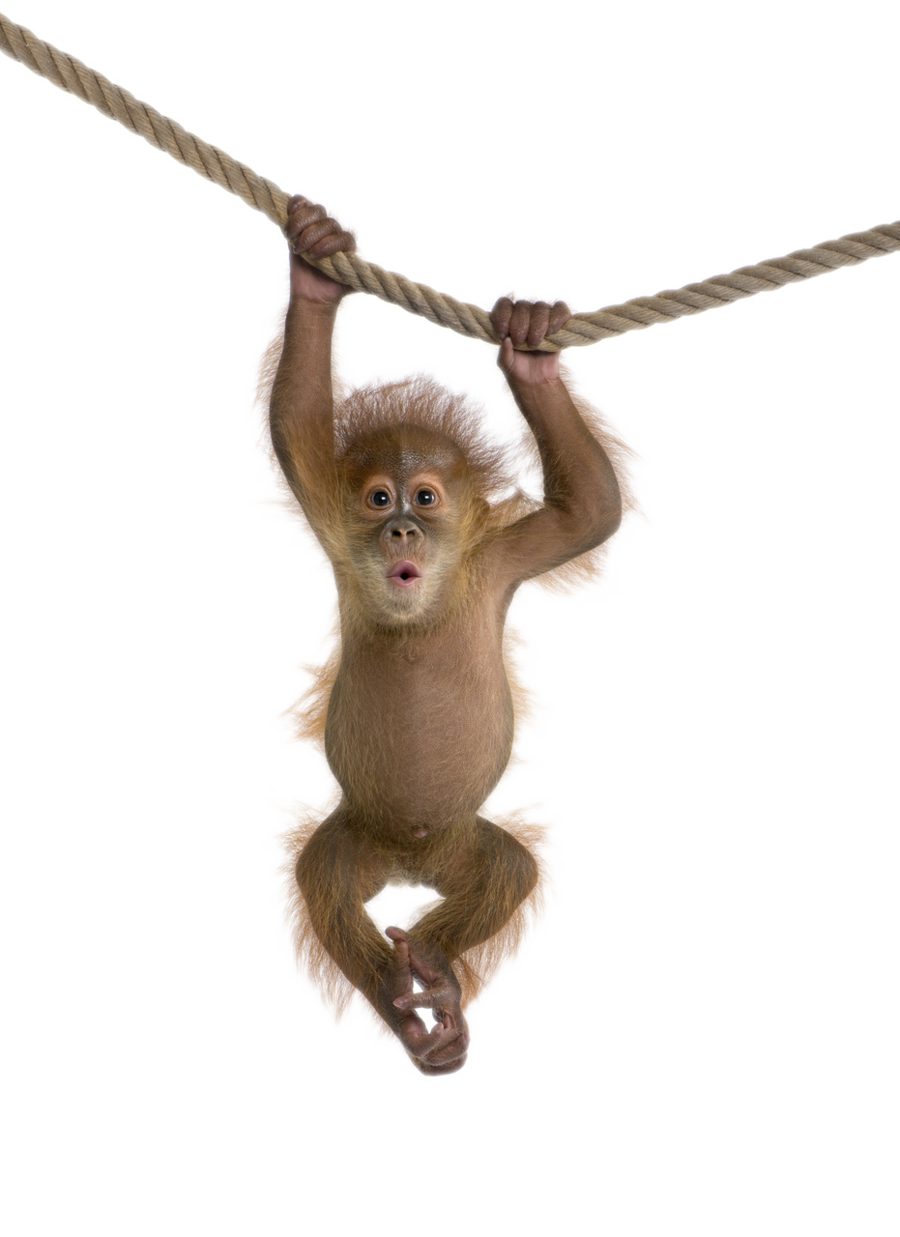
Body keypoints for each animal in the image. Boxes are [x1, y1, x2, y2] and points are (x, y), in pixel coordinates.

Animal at [261, 194, 646, 1078]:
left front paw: (530, 347)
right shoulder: (333, 519)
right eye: (378, 498)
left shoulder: (503, 558)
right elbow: (296, 425)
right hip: (361, 835)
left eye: (427, 497)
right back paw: (406, 1007)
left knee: (507, 870)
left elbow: (591, 509)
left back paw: (434, 971)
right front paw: (315, 268)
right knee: (325, 880)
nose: (402, 528)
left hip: (460, 845)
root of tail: (411, 858)